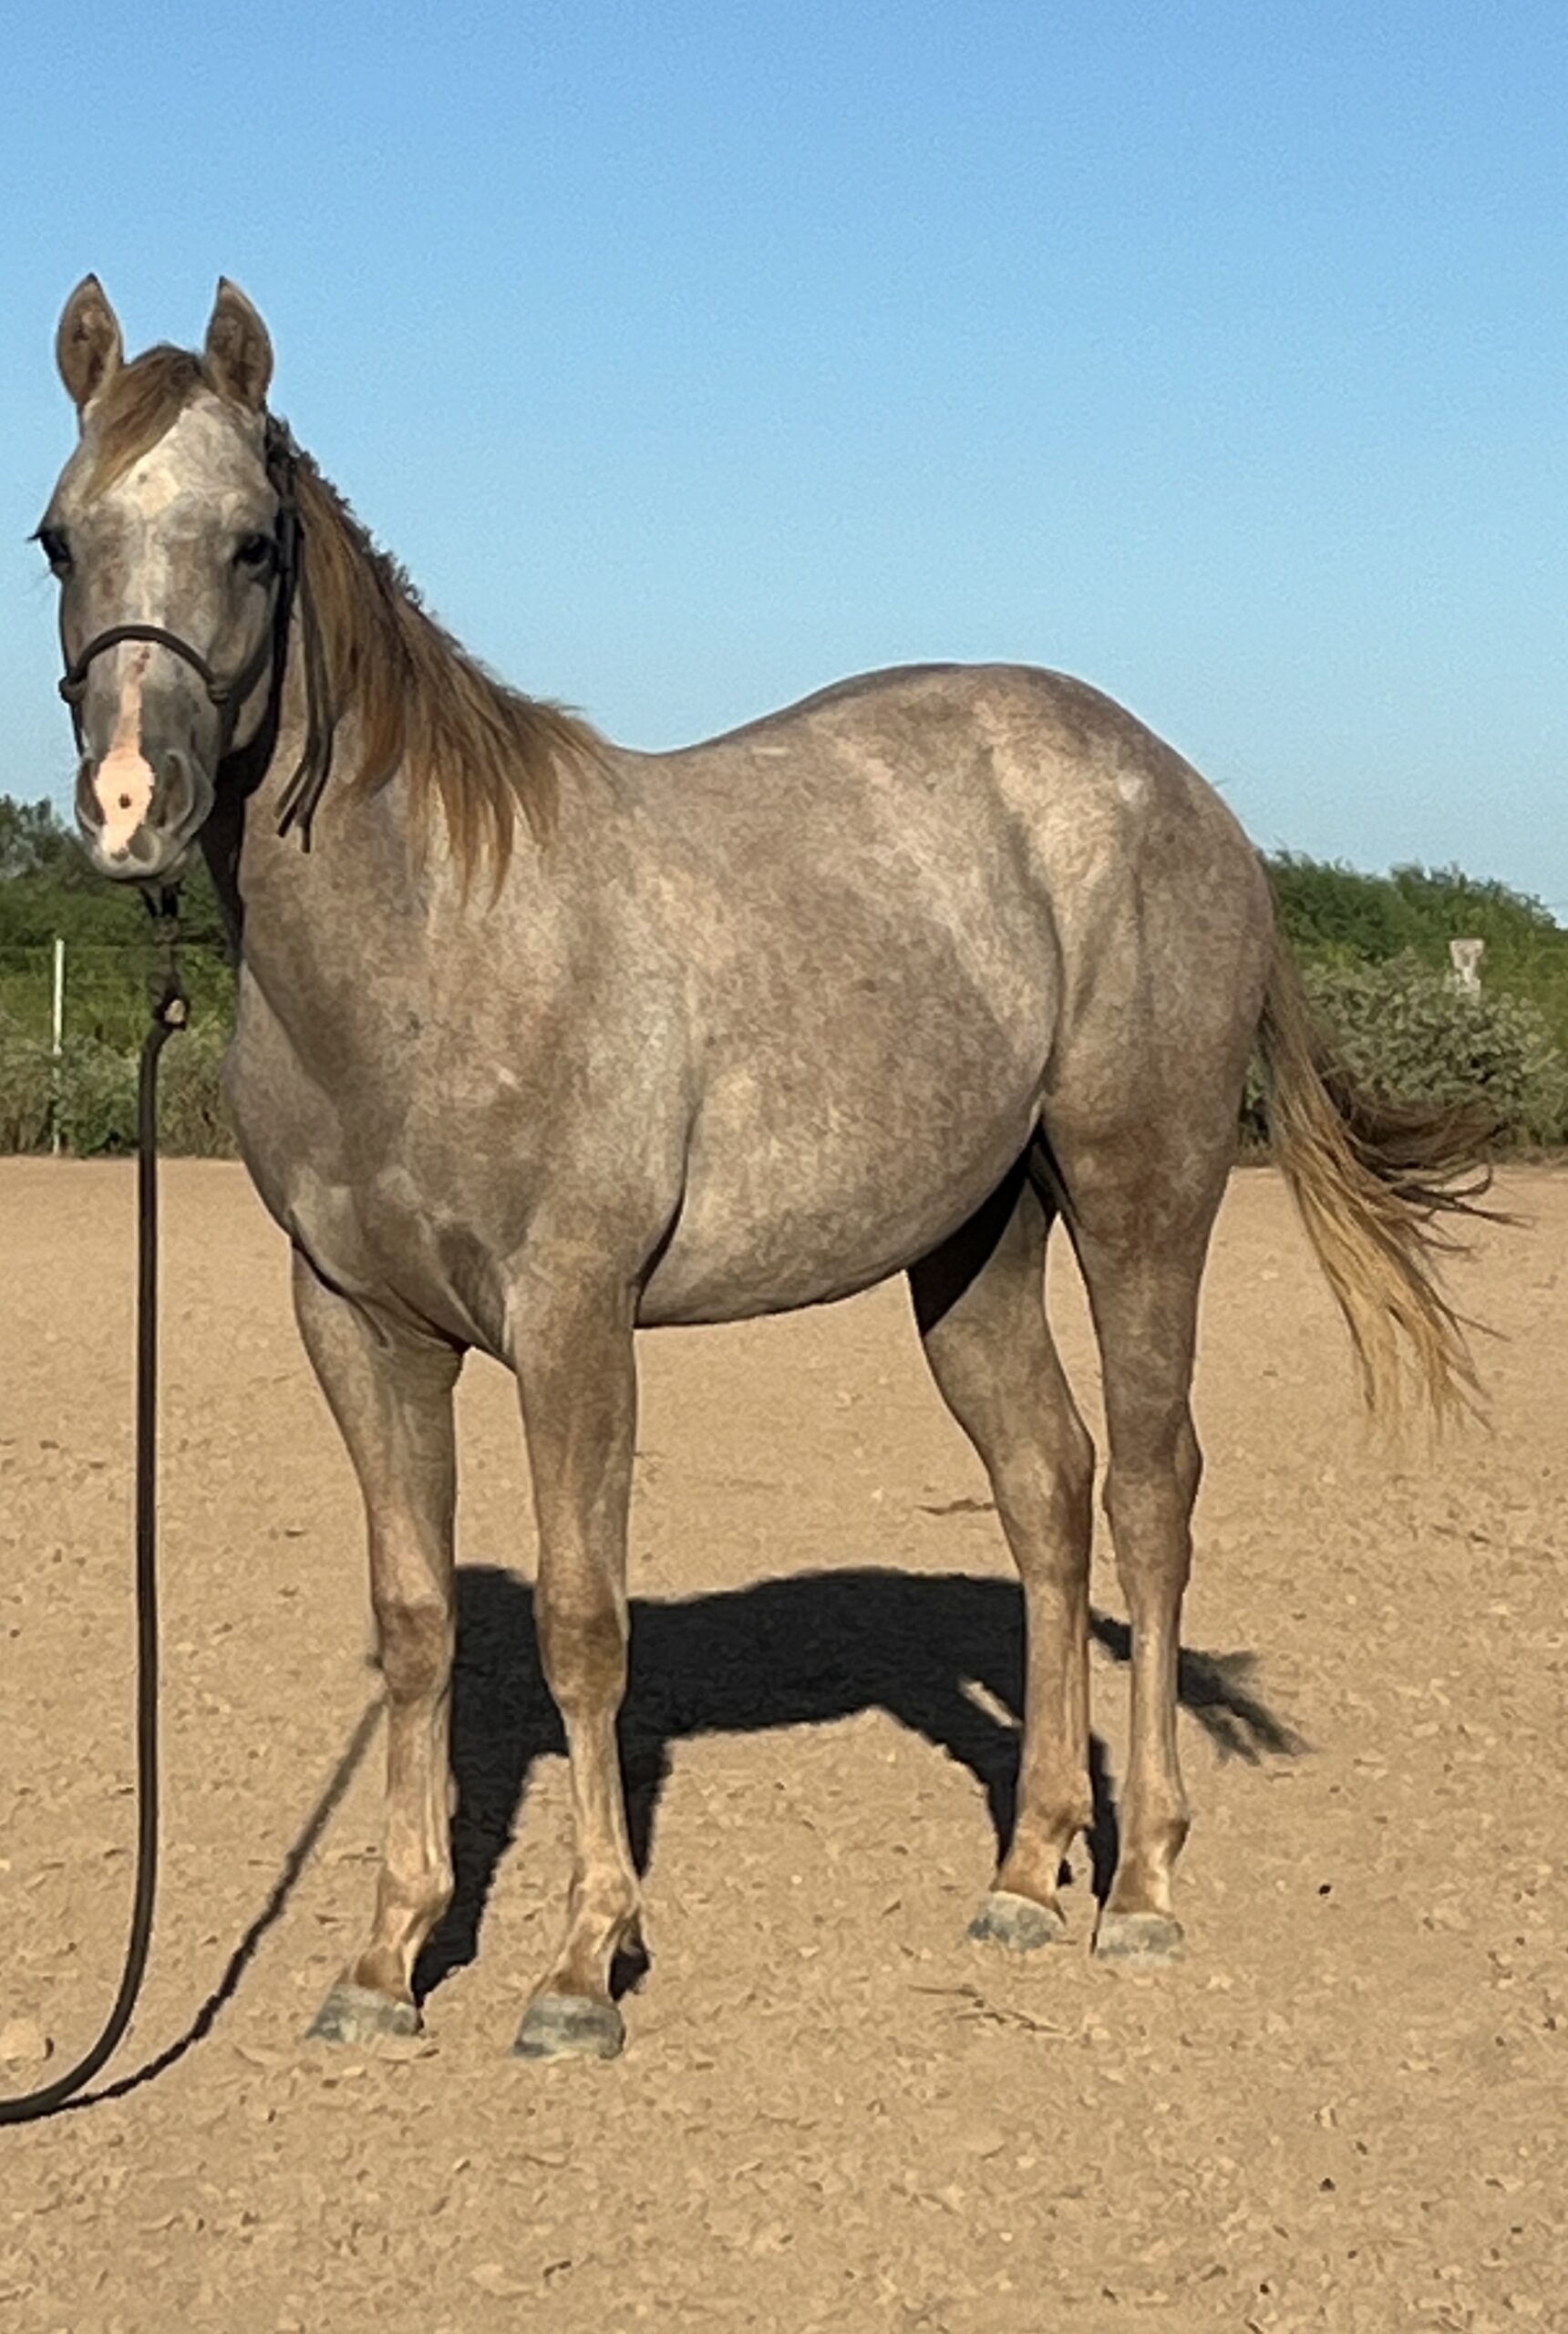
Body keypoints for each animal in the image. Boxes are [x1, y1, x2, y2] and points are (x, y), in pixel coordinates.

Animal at [38, 275, 1487, 2061]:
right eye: (58, 537)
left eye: (250, 543)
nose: (128, 808)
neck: (433, 937)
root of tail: (1189, 797)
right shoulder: (360, 1330)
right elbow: (419, 1626)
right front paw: (386, 1961)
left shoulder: (572, 1322)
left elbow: (581, 1629)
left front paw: (583, 1966)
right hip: (976, 1251)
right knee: (1048, 1496)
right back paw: (1027, 1873)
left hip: (1141, 1203)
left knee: (1152, 1496)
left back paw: (1141, 1884)